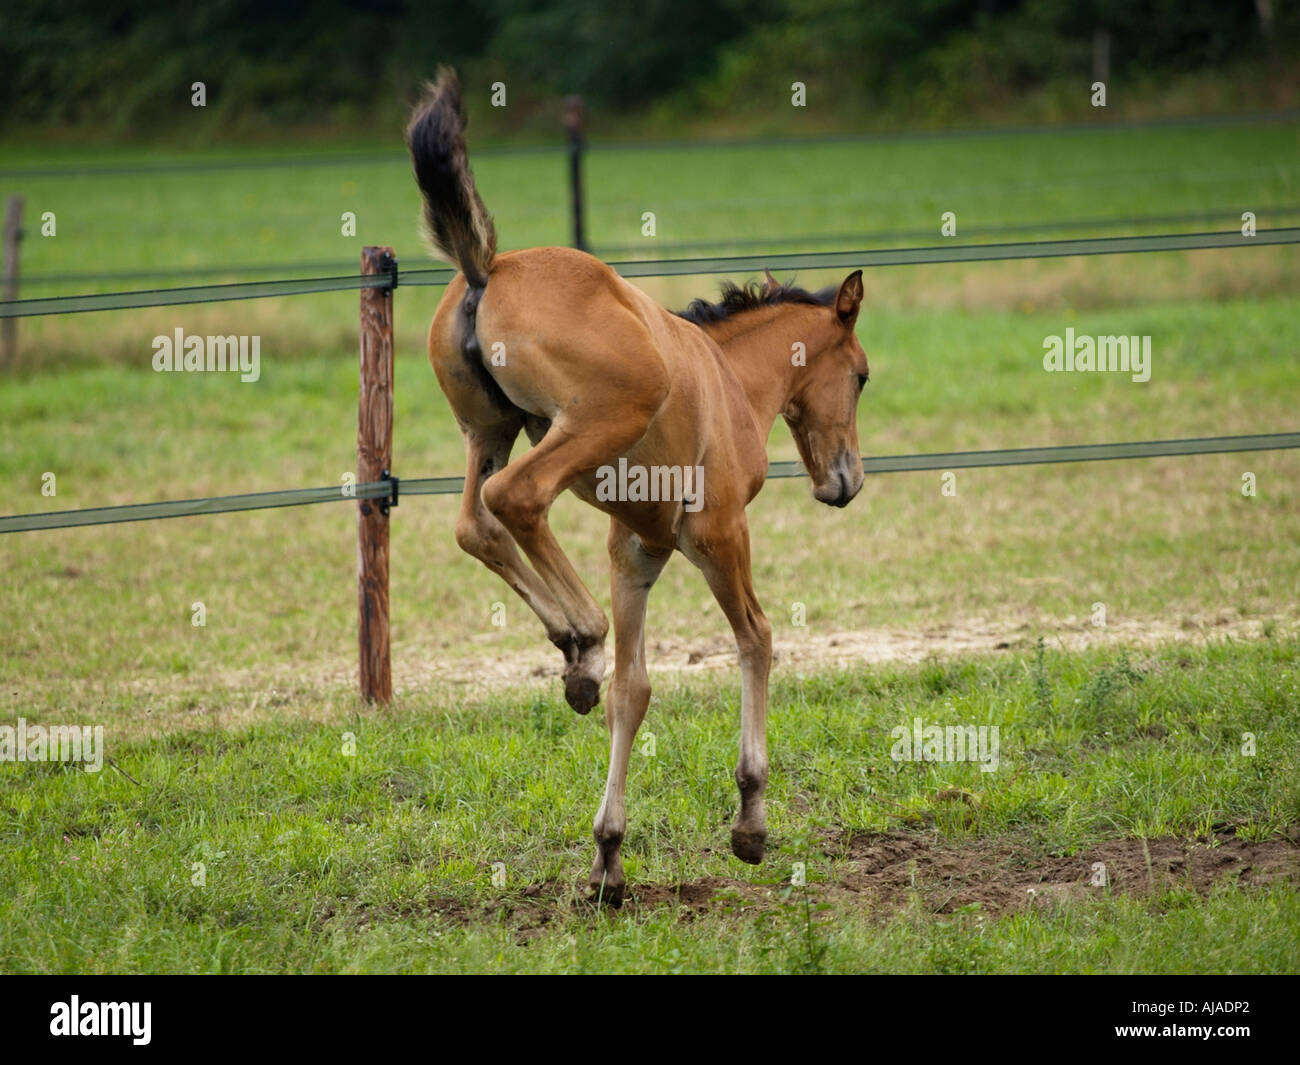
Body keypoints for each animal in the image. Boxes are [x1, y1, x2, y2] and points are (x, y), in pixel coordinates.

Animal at [407, 69, 869, 905]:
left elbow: (636, 688)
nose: (844, 480)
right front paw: (750, 822)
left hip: (487, 429)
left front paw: (608, 858)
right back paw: (582, 636)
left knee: (475, 522)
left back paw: (574, 653)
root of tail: (491, 268)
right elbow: (758, 638)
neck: (729, 378)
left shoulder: (636, 548)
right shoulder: (716, 531)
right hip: (596, 419)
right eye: (861, 376)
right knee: (515, 498)